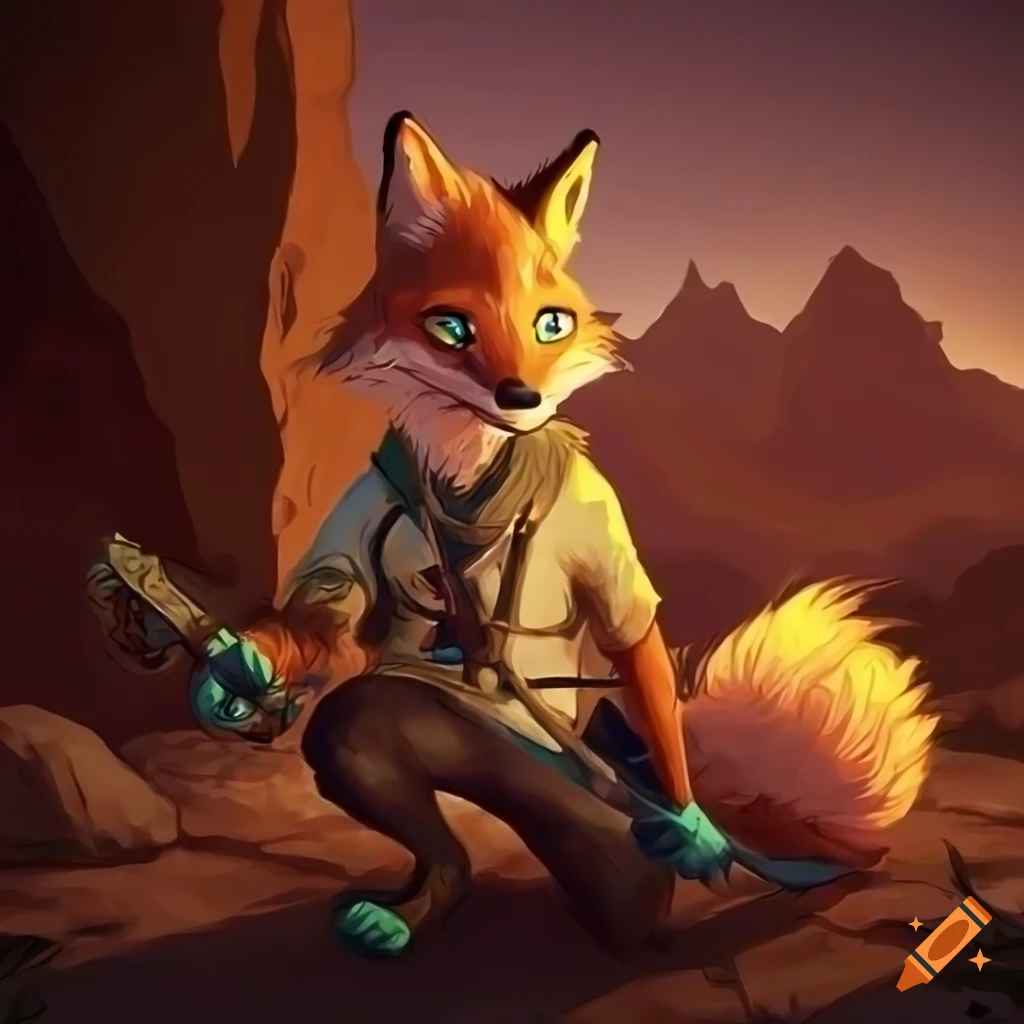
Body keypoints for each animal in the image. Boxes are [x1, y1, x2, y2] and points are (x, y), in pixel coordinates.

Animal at [88, 111, 938, 960]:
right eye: (452, 327)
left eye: (550, 323)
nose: (520, 394)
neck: (474, 466)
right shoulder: (367, 499)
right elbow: (323, 617)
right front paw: (229, 672)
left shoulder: (598, 512)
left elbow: (631, 637)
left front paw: (692, 824)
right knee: (365, 735)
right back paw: (420, 900)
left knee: (622, 872)